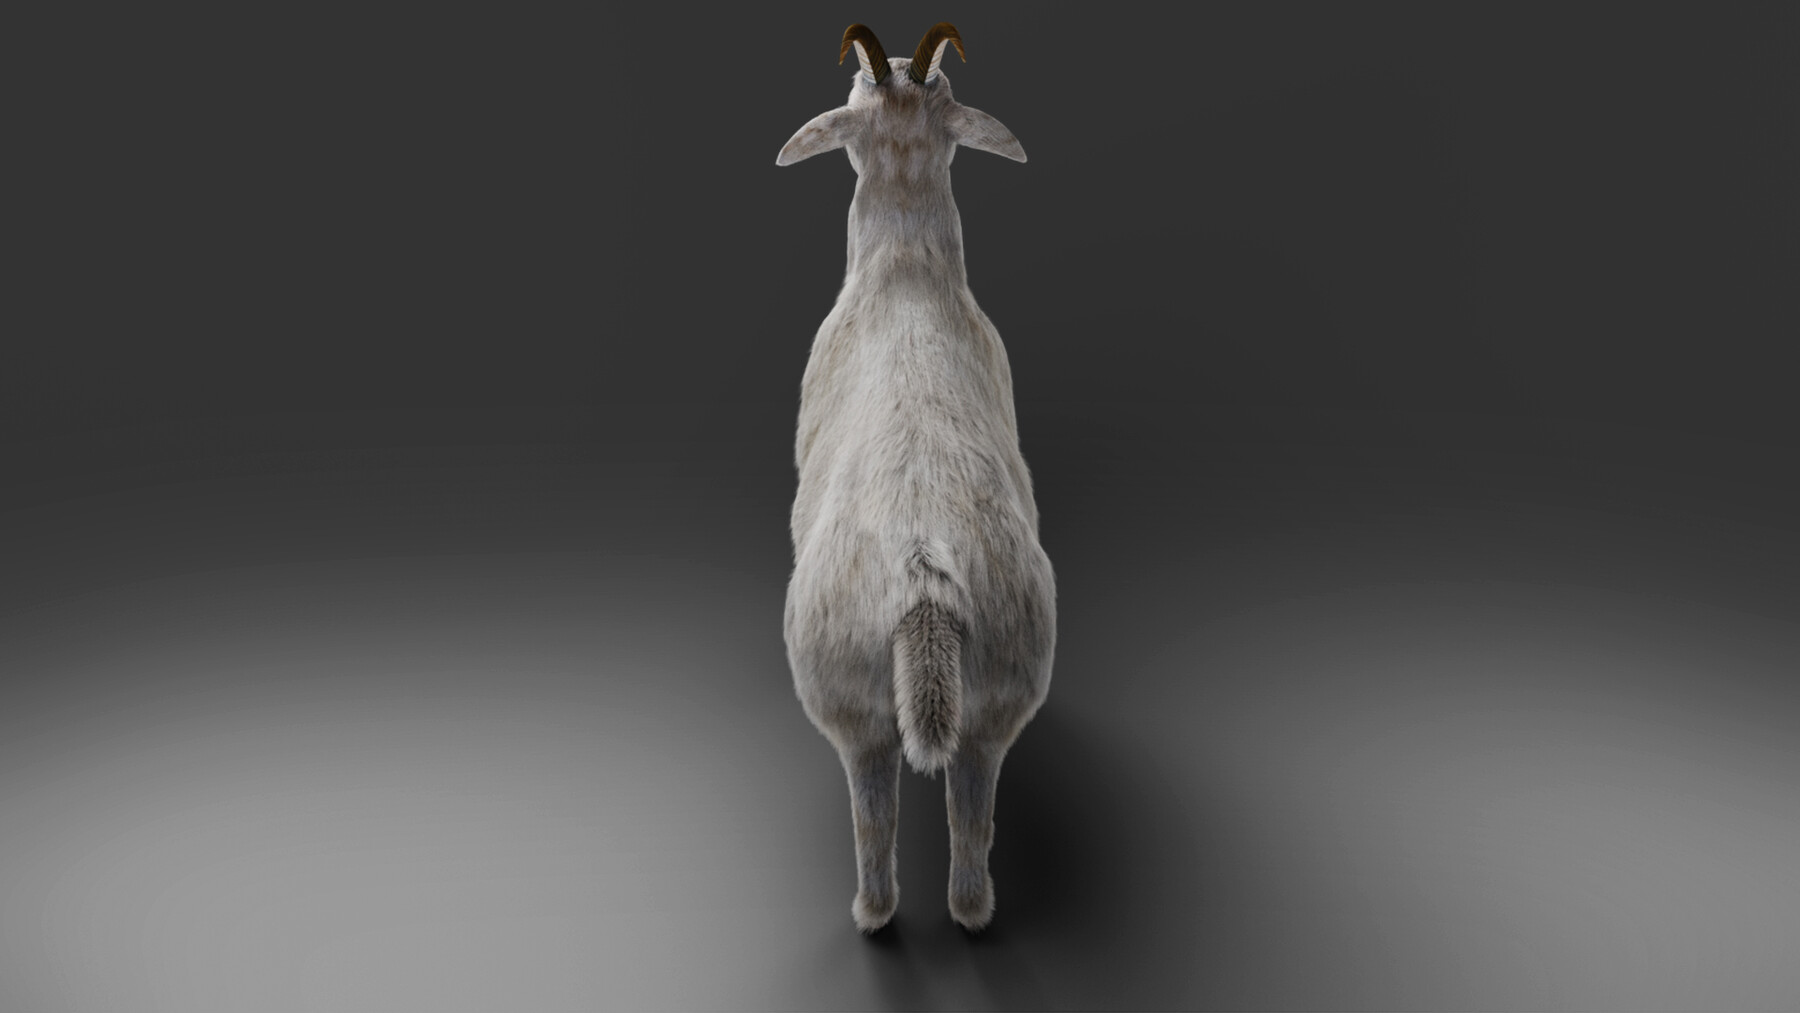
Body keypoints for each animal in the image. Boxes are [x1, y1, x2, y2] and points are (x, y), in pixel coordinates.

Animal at [776, 23, 1054, 934]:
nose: (896, 65)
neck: (904, 266)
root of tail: (925, 581)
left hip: (848, 702)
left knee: (873, 811)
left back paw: (870, 913)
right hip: (997, 694)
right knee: (971, 815)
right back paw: (972, 912)